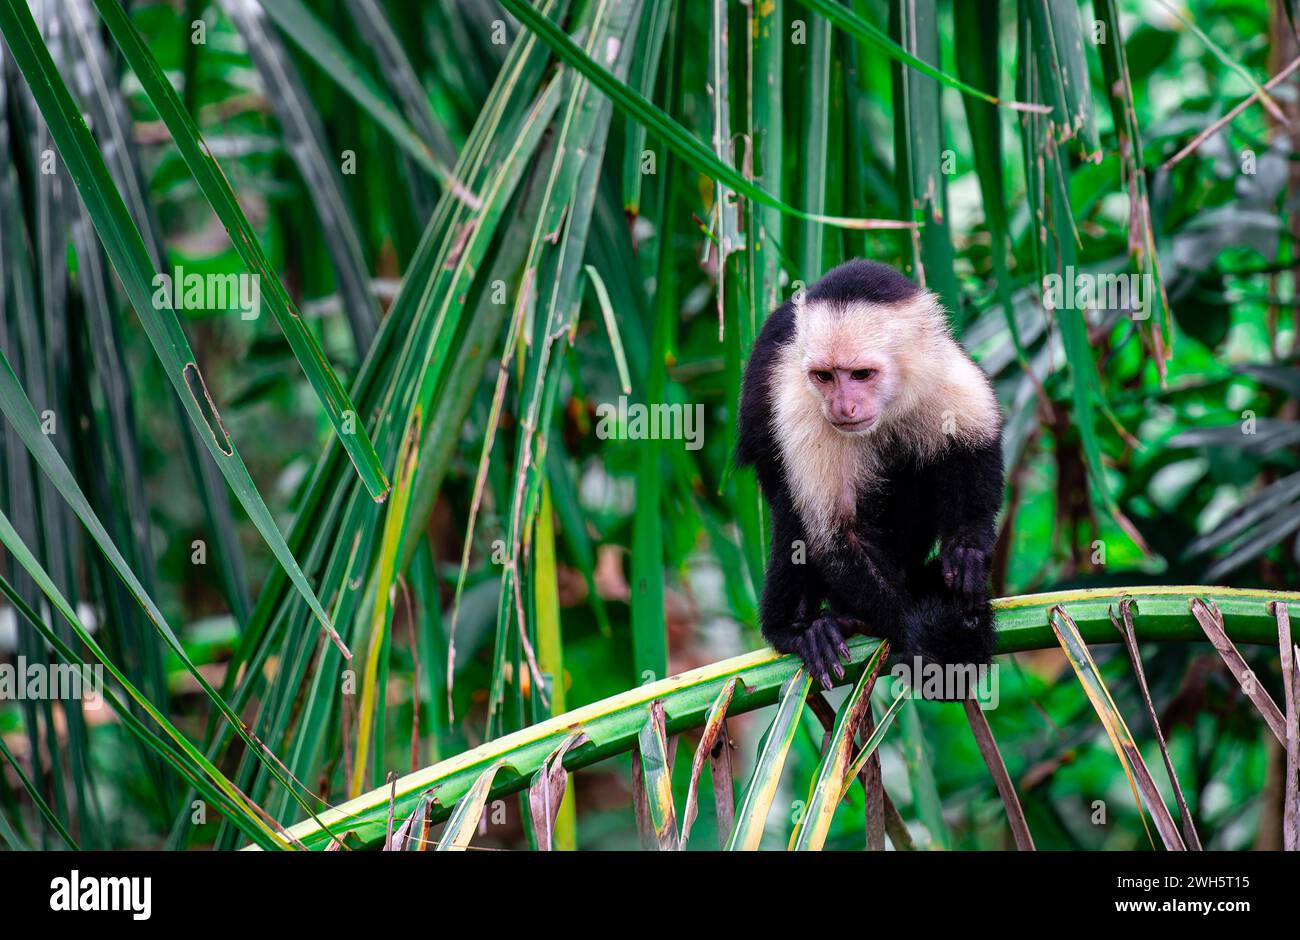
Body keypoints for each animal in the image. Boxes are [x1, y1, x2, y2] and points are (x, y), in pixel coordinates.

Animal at [736, 260, 1004, 689]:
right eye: (824, 376)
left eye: (861, 374)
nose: (843, 407)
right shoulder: (806, 410)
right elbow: (836, 534)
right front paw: (927, 633)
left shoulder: (946, 372)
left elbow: (972, 448)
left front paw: (967, 554)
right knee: (792, 508)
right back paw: (800, 628)